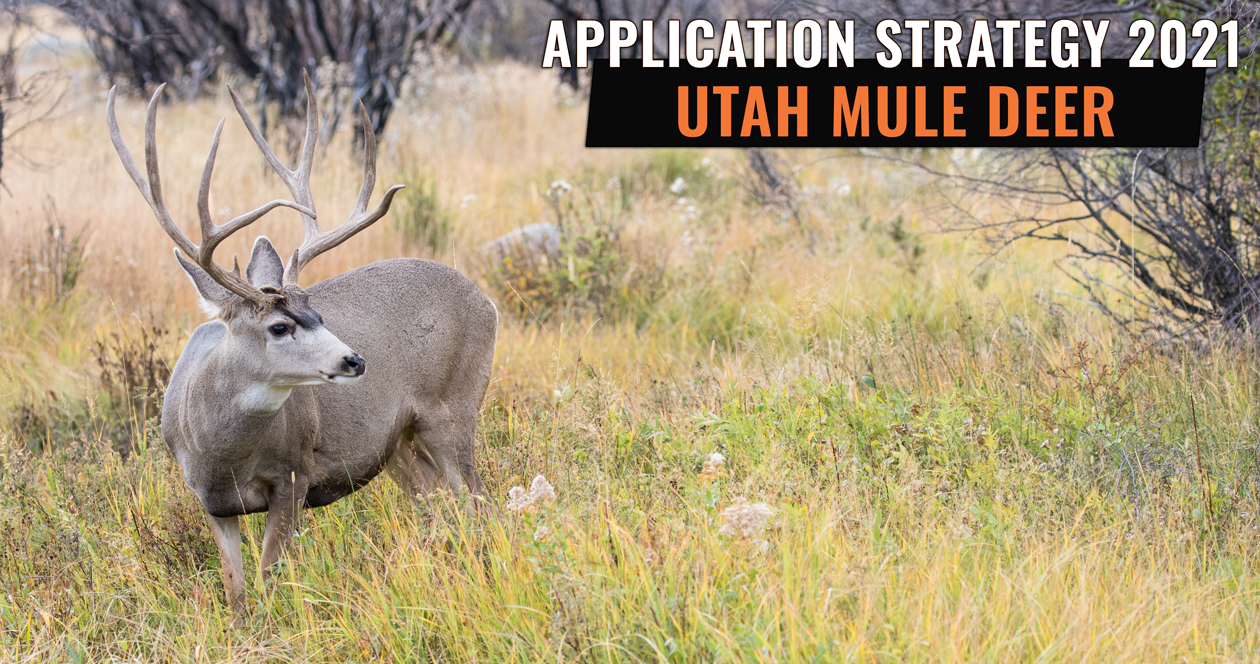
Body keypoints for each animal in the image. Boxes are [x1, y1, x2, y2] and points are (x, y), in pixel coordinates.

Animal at [105, 73, 498, 611]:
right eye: (279, 326)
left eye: (317, 311)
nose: (354, 360)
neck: (223, 455)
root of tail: (488, 302)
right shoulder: (210, 501)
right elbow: (236, 593)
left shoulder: (294, 477)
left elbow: (270, 578)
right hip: (399, 444)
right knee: (437, 507)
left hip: (452, 408)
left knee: (480, 503)